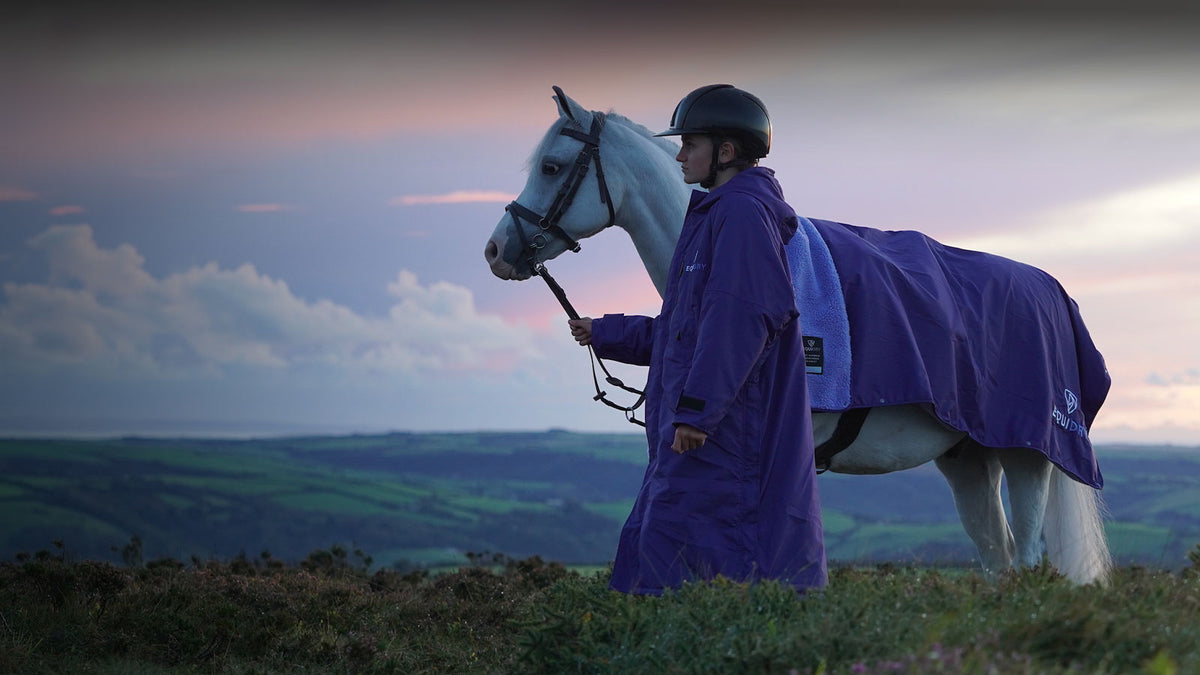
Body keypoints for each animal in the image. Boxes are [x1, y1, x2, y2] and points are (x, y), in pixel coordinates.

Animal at [484, 87, 1111, 585]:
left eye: (551, 167)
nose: (495, 250)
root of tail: (1051, 291)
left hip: (1027, 457)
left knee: (1026, 558)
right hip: (969, 459)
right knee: (998, 559)